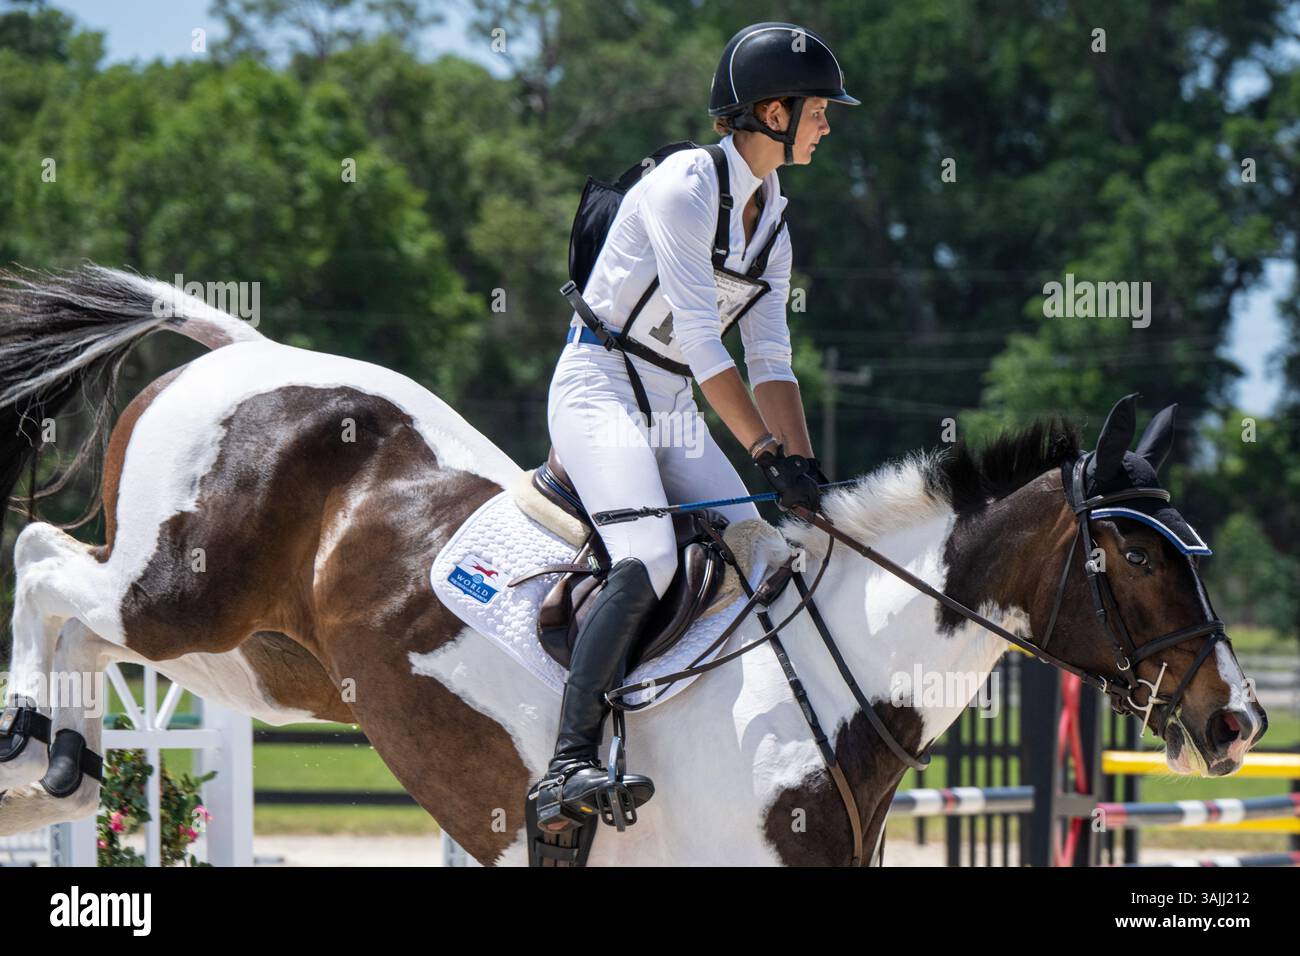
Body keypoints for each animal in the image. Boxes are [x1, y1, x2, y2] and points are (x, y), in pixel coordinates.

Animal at [0, 266, 1266, 865]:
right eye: (1133, 557)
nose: (1239, 719)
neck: (837, 682)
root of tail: (247, 354)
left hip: (261, 662)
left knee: (84, 621)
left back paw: (67, 754)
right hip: (180, 593)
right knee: (47, 563)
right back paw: (37, 745)